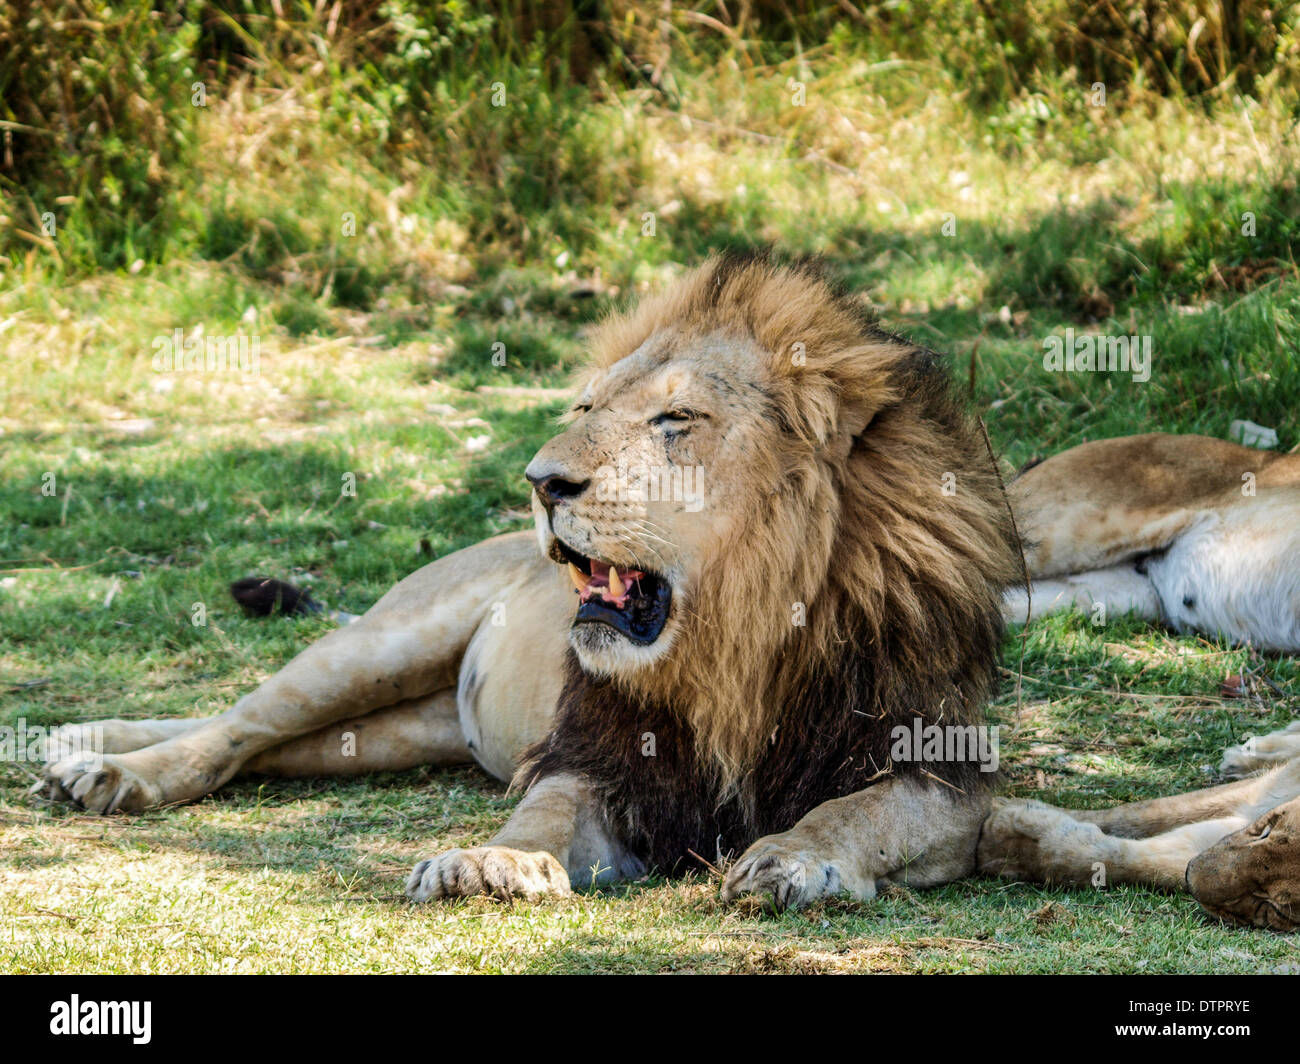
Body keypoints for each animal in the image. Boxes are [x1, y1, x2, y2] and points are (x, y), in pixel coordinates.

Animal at [37, 251, 1021, 910]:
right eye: (586, 407)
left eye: (674, 419)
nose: (542, 481)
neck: (739, 649)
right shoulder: (595, 759)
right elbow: (541, 817)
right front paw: (491, 864)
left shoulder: (940, 772)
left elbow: (859, 816)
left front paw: (790, 856)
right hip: (380, 645)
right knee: (238, 726)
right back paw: (107, 770)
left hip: (397, 731)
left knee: (268, 744)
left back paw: (78, 751)